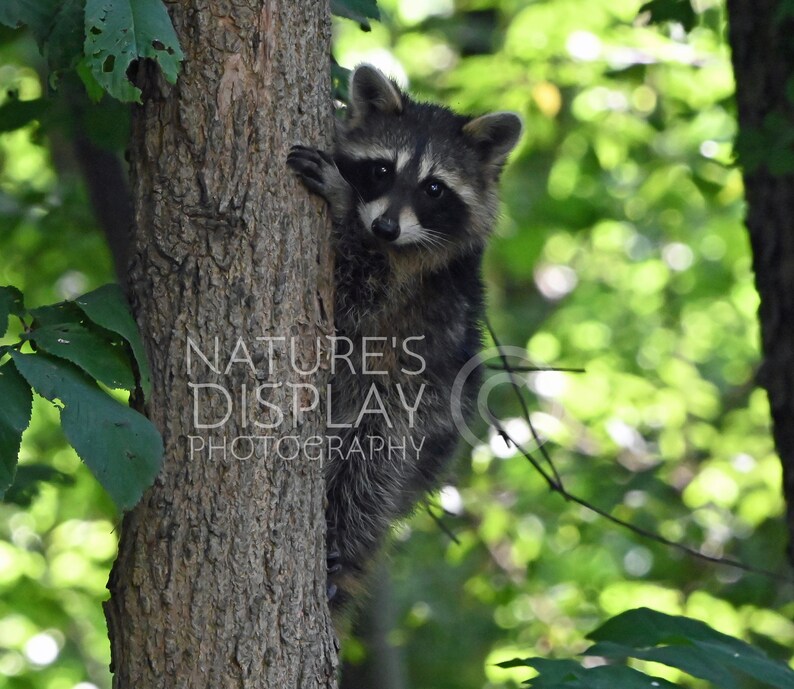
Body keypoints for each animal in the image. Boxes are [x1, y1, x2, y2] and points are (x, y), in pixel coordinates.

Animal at [287, 65, 521, 615]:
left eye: (434, 187)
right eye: (381, 169)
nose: (385, 226)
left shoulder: (410, 286)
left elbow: (357, 297)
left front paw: (341, 204)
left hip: (416, 415)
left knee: (372, 469)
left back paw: (343, 544)